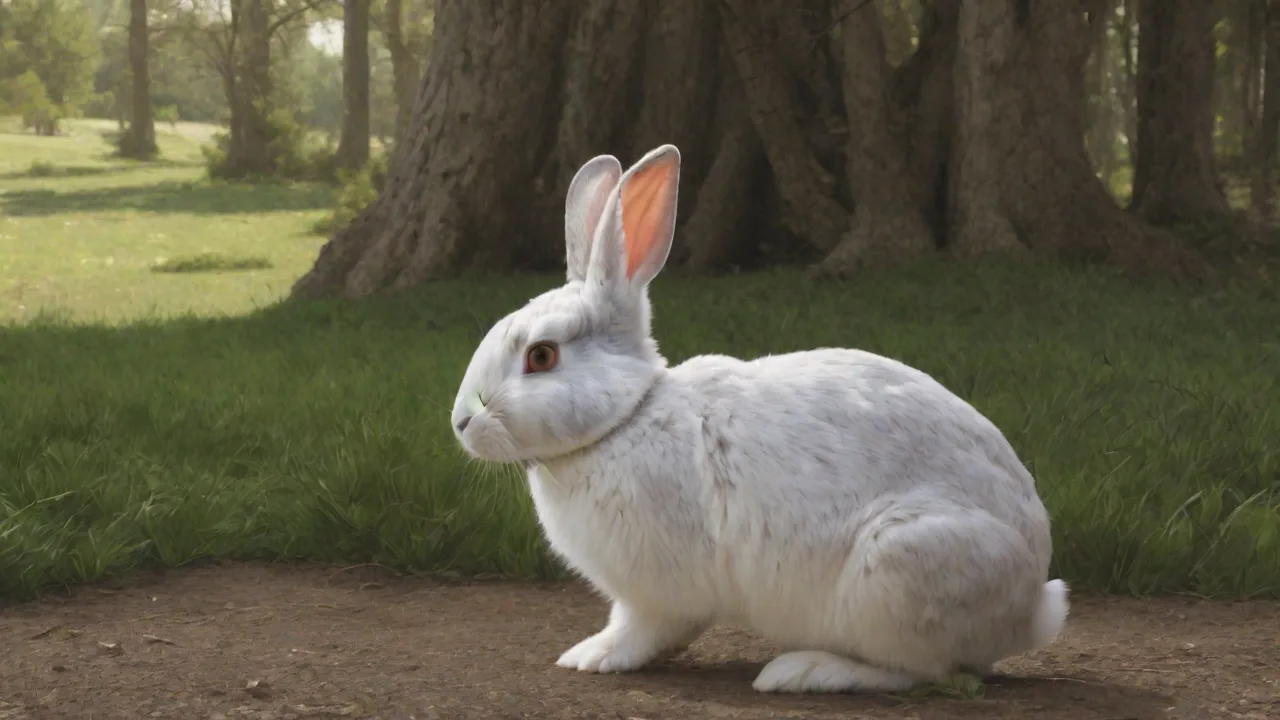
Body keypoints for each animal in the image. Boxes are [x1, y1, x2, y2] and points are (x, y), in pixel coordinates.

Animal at [450, 144, 1069, 694]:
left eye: (541, 356)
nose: (460, 423)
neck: (626, 416)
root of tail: (1029, 606)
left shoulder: (656, 593)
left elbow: (642, 628)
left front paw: (593, 657)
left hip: (897, 569)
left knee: (922, 671)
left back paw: (803, 672)